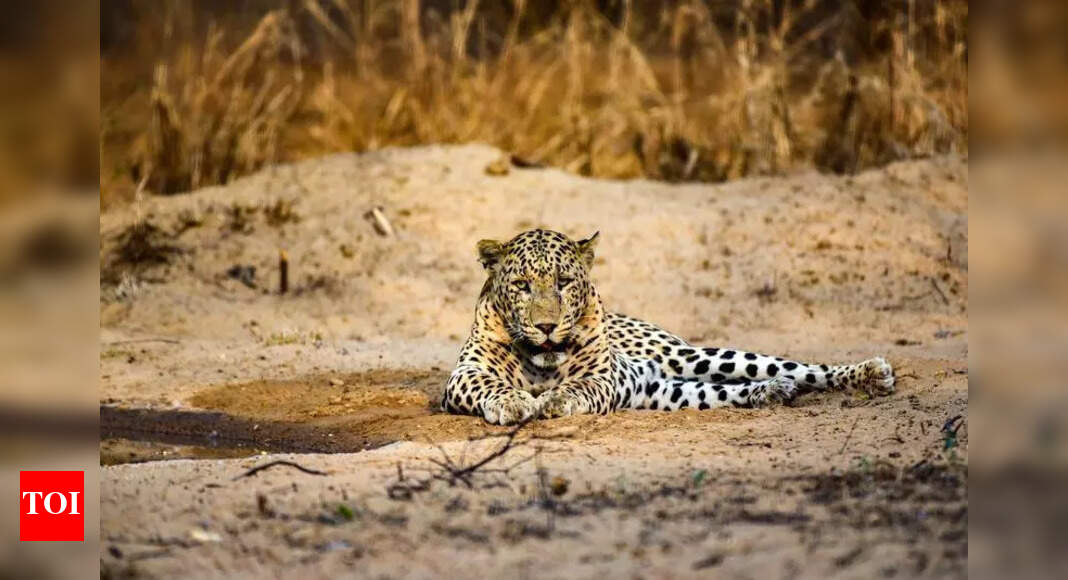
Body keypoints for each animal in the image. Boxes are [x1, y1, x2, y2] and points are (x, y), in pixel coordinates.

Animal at [441, 229, 895, 425]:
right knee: (722, 391)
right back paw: (771, 393)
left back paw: (869, 373)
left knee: (800, 368)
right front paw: (514, 403)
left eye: (564, 283)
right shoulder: (463, 375)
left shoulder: (604, 376)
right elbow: (490, 383)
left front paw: (555, 400)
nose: (547, 326)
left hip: (693, 355)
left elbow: (579, 386)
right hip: (664, 392)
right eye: (522, 285)